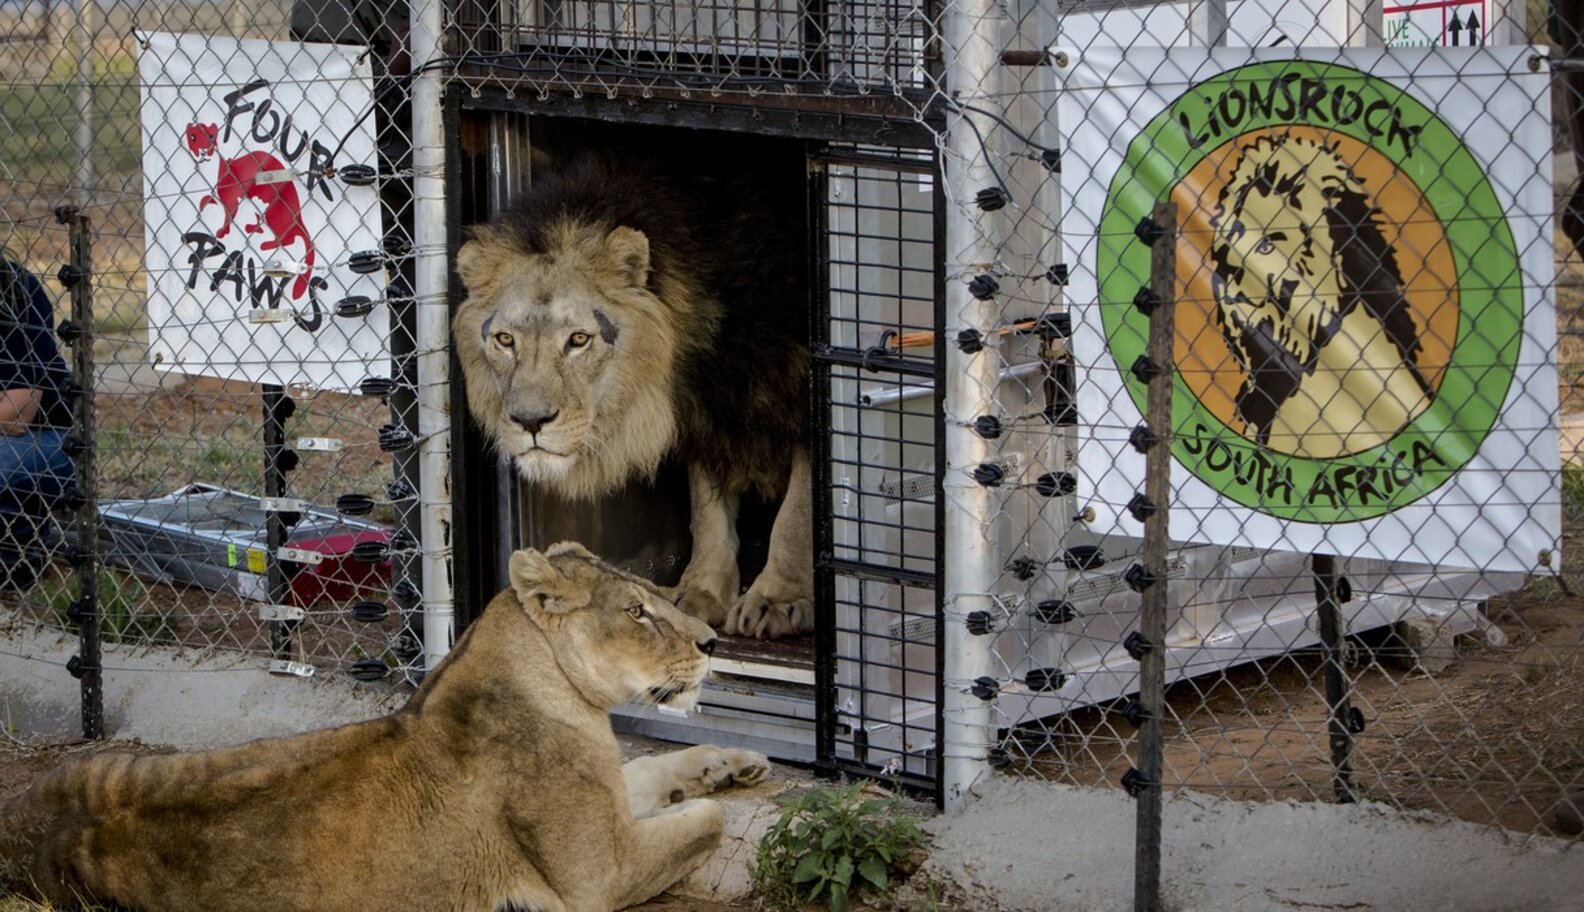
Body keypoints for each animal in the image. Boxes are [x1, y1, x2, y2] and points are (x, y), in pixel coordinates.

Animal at [0, 543, 771, 912]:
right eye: (637, 612)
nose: (712, 643)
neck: (569, 697)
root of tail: (16, 835)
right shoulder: (598, 877)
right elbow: (704, 822)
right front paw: (708, 794)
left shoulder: (608, 800)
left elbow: (648, 769)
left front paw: (729, 762)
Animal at [453, 158, 812, 639]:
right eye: (505, 340)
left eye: (579, 339)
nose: (530, 422)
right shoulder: (704, 417)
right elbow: (708, 514)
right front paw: (696, 593)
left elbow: (795, 514)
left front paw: (777, 599)